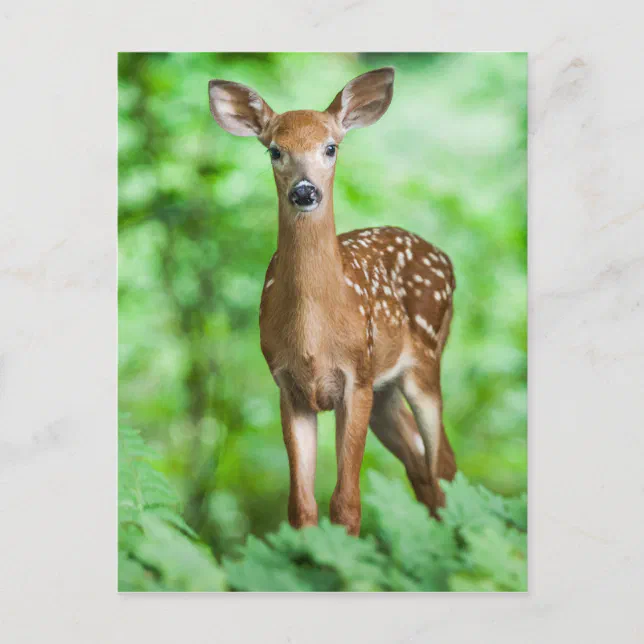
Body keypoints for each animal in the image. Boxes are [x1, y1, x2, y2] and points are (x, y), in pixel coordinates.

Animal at [208, 67, 457, 536]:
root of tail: (445, 258)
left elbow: (346, 504)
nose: (305, 192)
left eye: (330, 147)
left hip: (425, 363)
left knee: (443, 465)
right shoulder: (288, 388)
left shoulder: (356, 378)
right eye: (275, 150)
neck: (313, 336)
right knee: (422, 468)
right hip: (386, 391)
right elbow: (301, 508)